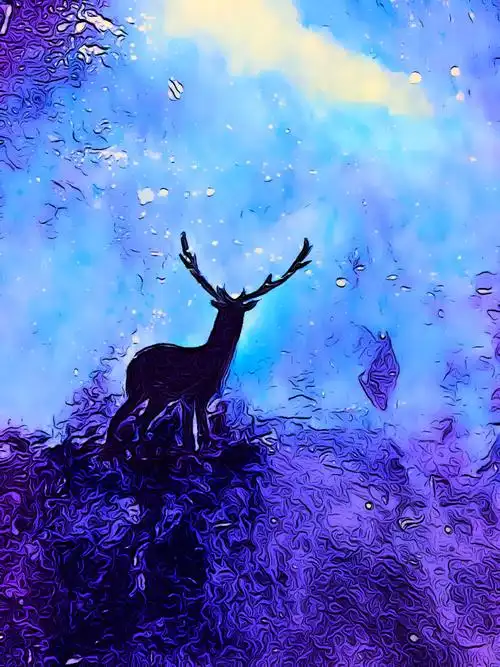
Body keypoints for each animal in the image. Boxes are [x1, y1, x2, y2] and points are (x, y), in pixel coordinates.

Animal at [104, 232, 312, 456]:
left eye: (236, 310)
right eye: (229, 309)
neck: (216, 361)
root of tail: (132, 365)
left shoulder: (187, 399)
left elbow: (189, 433)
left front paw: (189, 449)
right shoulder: (202, 392)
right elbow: (203, 428)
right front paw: (204, 448)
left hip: (141, 392)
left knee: (124, 420)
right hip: (156, 393)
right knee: (137, 423)